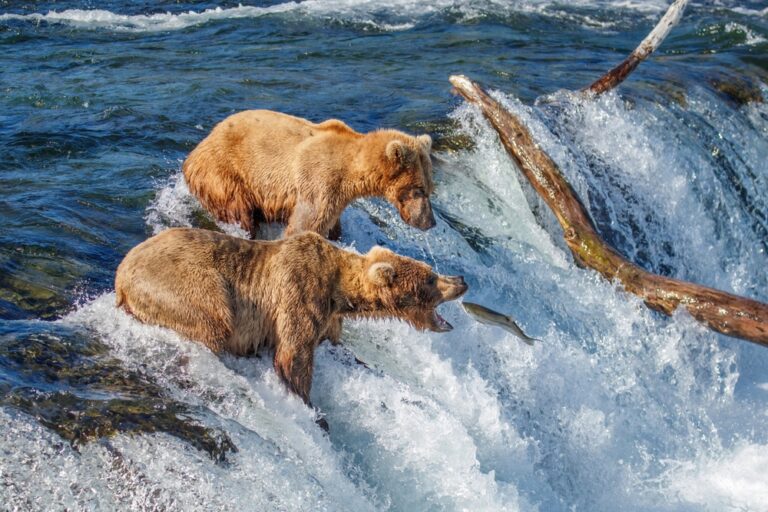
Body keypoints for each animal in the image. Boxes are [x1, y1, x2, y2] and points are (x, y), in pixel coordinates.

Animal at [114, 228, 467, 410]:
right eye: (431, 278)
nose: (461, 279)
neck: (339, 290)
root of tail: (121, 274)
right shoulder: (299, 293)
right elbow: (293, 355)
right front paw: (308, 405)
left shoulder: (330, 318)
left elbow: (335, 345)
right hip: (183, 282)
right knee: (214, 319)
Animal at [182, 109, 436, 239]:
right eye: (418, 190)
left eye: (430, 190)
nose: (430, 222)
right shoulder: (319, 182)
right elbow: (306, 224)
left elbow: (333, 228)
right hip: (224, 173)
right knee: (237, 212)